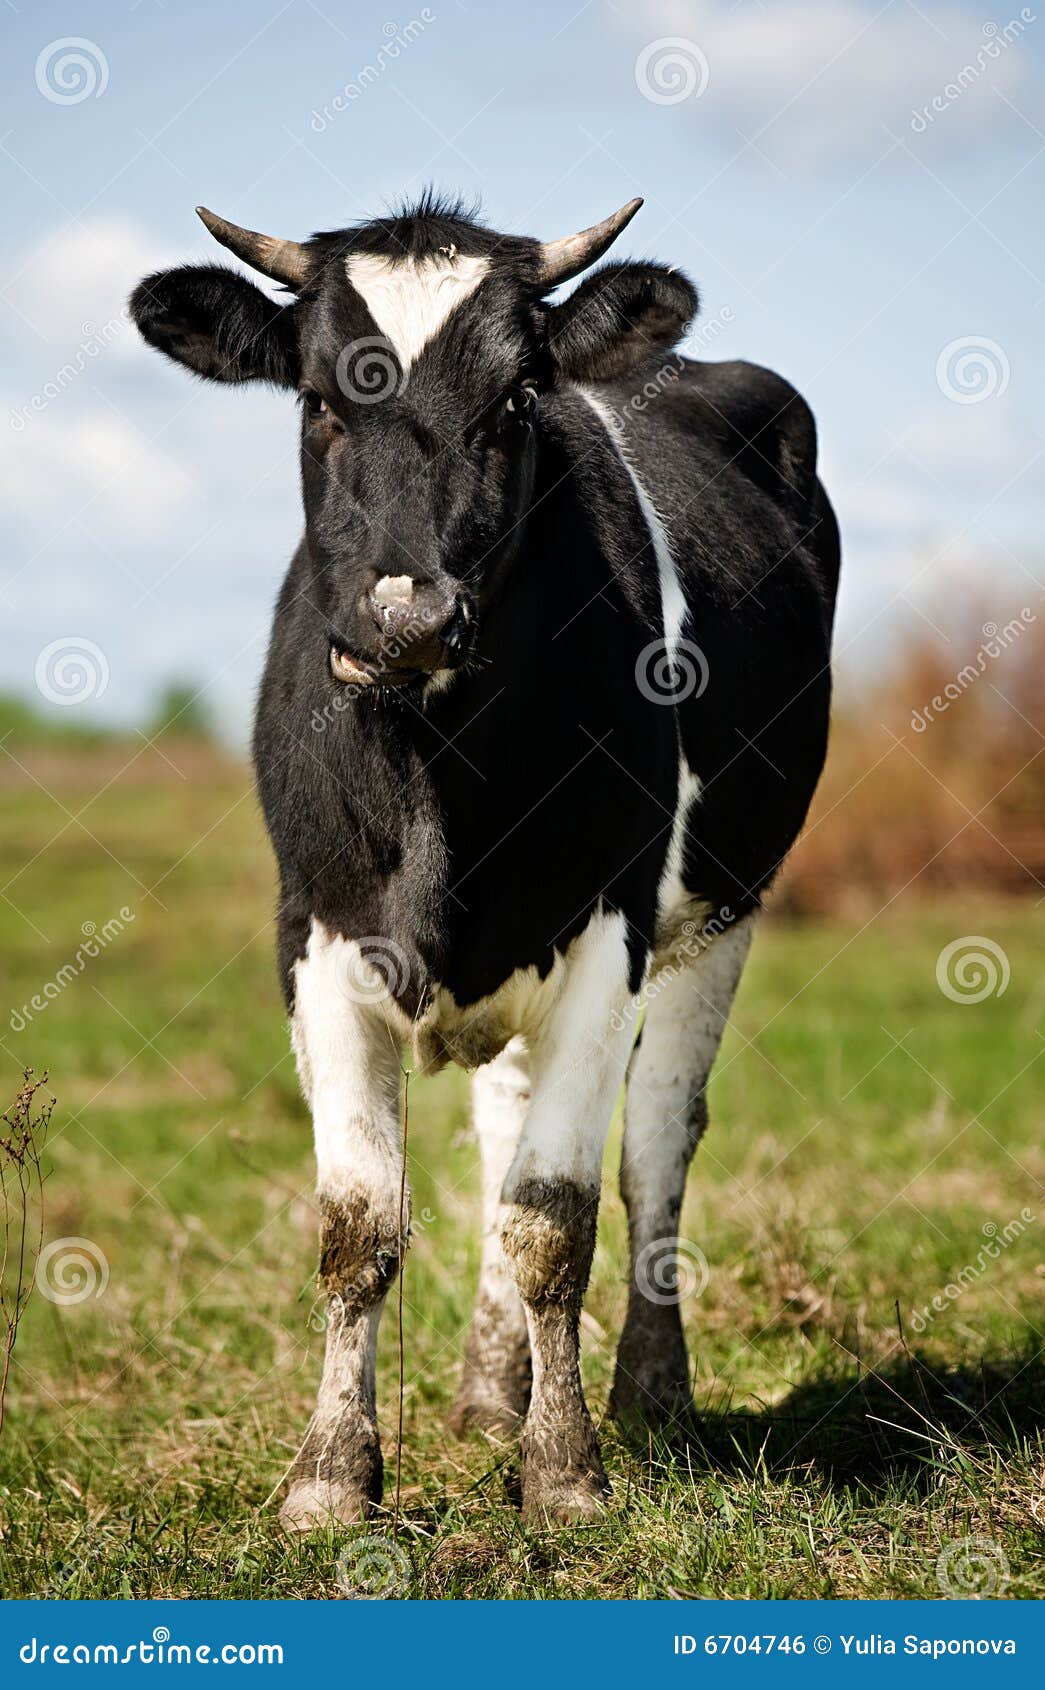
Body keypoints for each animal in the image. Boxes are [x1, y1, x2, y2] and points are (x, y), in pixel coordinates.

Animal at [130, 192, 839, 1529]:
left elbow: (553, 1217)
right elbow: (358, 1225)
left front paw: (563, 1470)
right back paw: (485, 1392)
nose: (406, 615)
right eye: (316, 398)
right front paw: (330, 1475)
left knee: (654, 1144)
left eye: (515, 404)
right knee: (505, 1124)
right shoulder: (316, 936)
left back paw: (648, 1396)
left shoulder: (612, 928)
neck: (436, 780)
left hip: (722, 912)